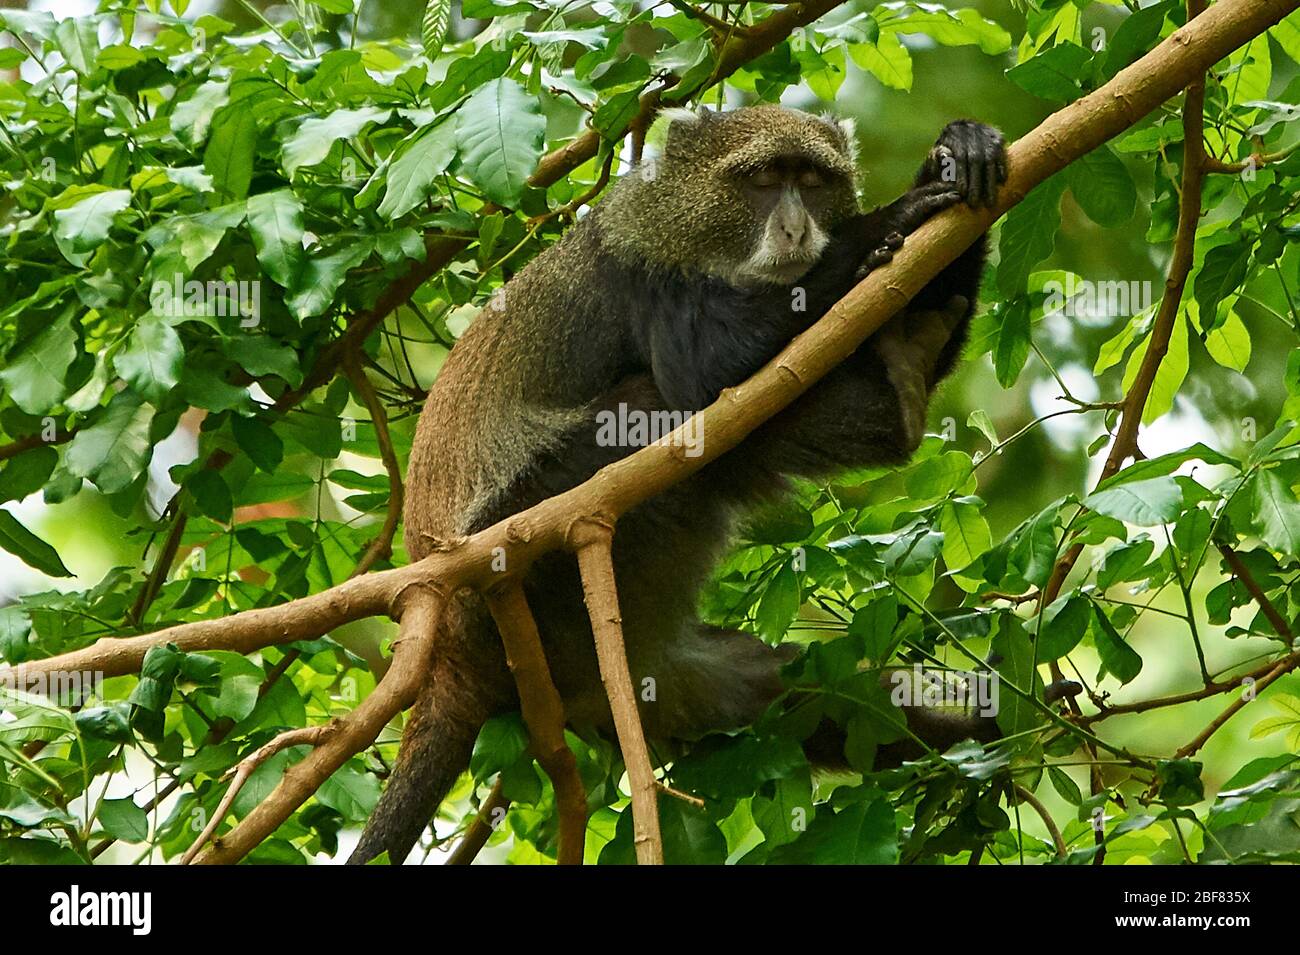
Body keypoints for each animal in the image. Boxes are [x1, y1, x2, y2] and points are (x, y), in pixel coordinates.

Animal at [347, 106, 1008, 864]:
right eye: (762, 180)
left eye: (812, 181)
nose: (796, 229)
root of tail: (449, 655)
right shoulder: (643, 271)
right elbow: (704, 362)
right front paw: (889, 216)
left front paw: (959, 152)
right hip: (509, 550)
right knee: (650, 399)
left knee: (792, 689)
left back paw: (906, 374)